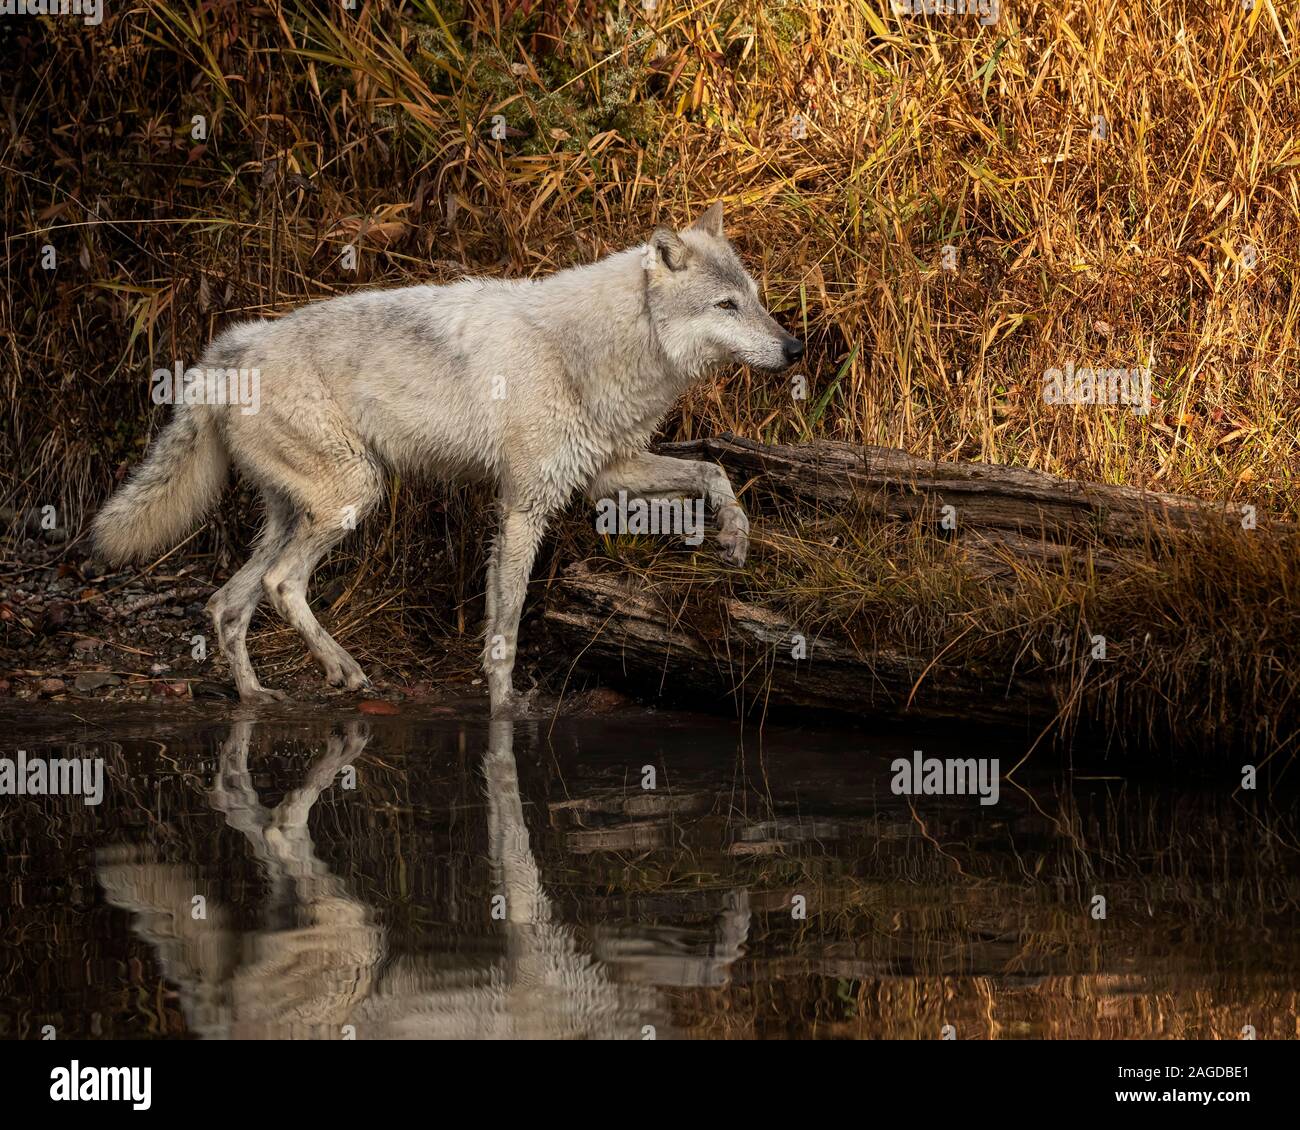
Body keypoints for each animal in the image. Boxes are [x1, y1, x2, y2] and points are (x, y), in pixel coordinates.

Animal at [91, 203, 803, 713]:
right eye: (727, 306)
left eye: (755, 298)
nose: (795, 348)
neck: (589, 350)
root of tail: (233, 346)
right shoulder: (522, 509)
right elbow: (505, 630)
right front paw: (503, 712)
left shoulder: (605, 474)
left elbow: (713, 472)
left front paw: (733, 537)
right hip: (354, 495)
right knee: (279, 585)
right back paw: (345, 671)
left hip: (297, 515)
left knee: (225, 604)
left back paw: (255, 697)